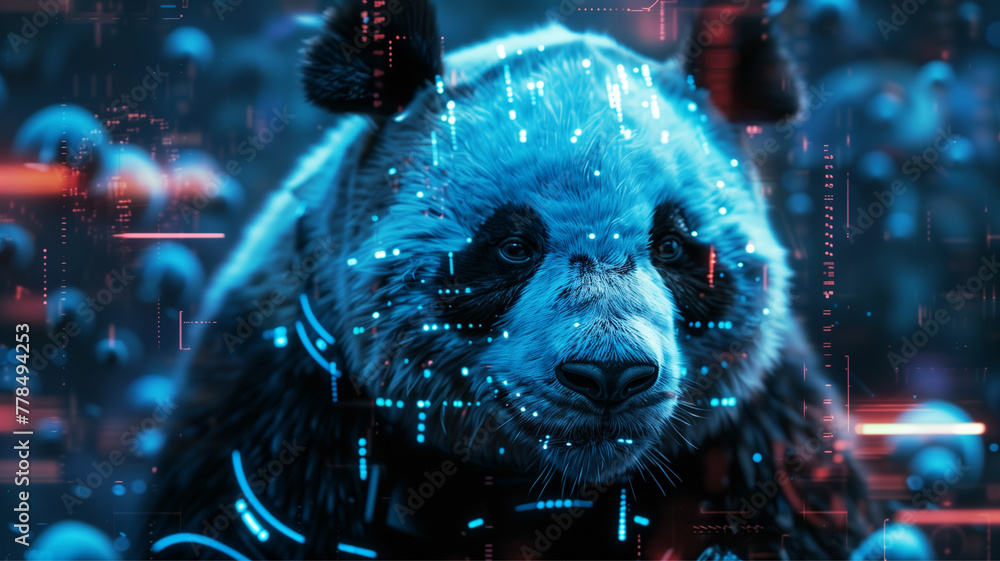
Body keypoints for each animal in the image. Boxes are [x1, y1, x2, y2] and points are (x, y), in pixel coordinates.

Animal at [147, 0, 877, 559]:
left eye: (673, 246)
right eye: (513, 248)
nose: (610, 375)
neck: (548, 490)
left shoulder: (765, 449)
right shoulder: (288, 419)